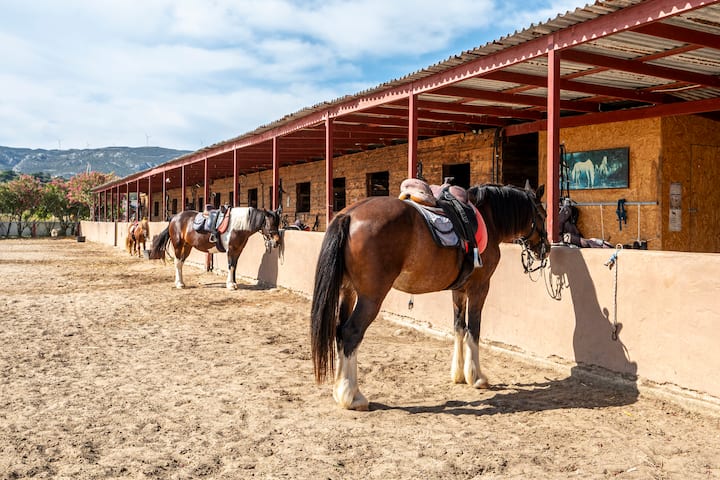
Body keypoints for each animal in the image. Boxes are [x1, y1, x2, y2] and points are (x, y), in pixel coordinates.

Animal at [148, 207, 282, 289]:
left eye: (278, 223)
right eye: (269, 223)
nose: (277, 241)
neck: (238, 226)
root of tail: (174, 218)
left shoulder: (238, 250)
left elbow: (234, 266)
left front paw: (234, 283)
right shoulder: (230, 250)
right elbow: (230, 266)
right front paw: (230, 285)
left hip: (187, 247)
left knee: (180, 263)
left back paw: (180, 282)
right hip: (178, 245)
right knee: (177, 263)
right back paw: (179, 284)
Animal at [310, 183, 550, 410]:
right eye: (543, 214)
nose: (545, 249)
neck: (488, 218)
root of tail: (349, 215)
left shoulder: (458, 290)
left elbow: (459, 328)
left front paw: (459, 375)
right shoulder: (479, 287)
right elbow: (474, 330)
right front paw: (477, 377)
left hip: (348, 291)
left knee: (339, 332)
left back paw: (339, 391)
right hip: (371, 297)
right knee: (351, 333)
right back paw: (352, 396)